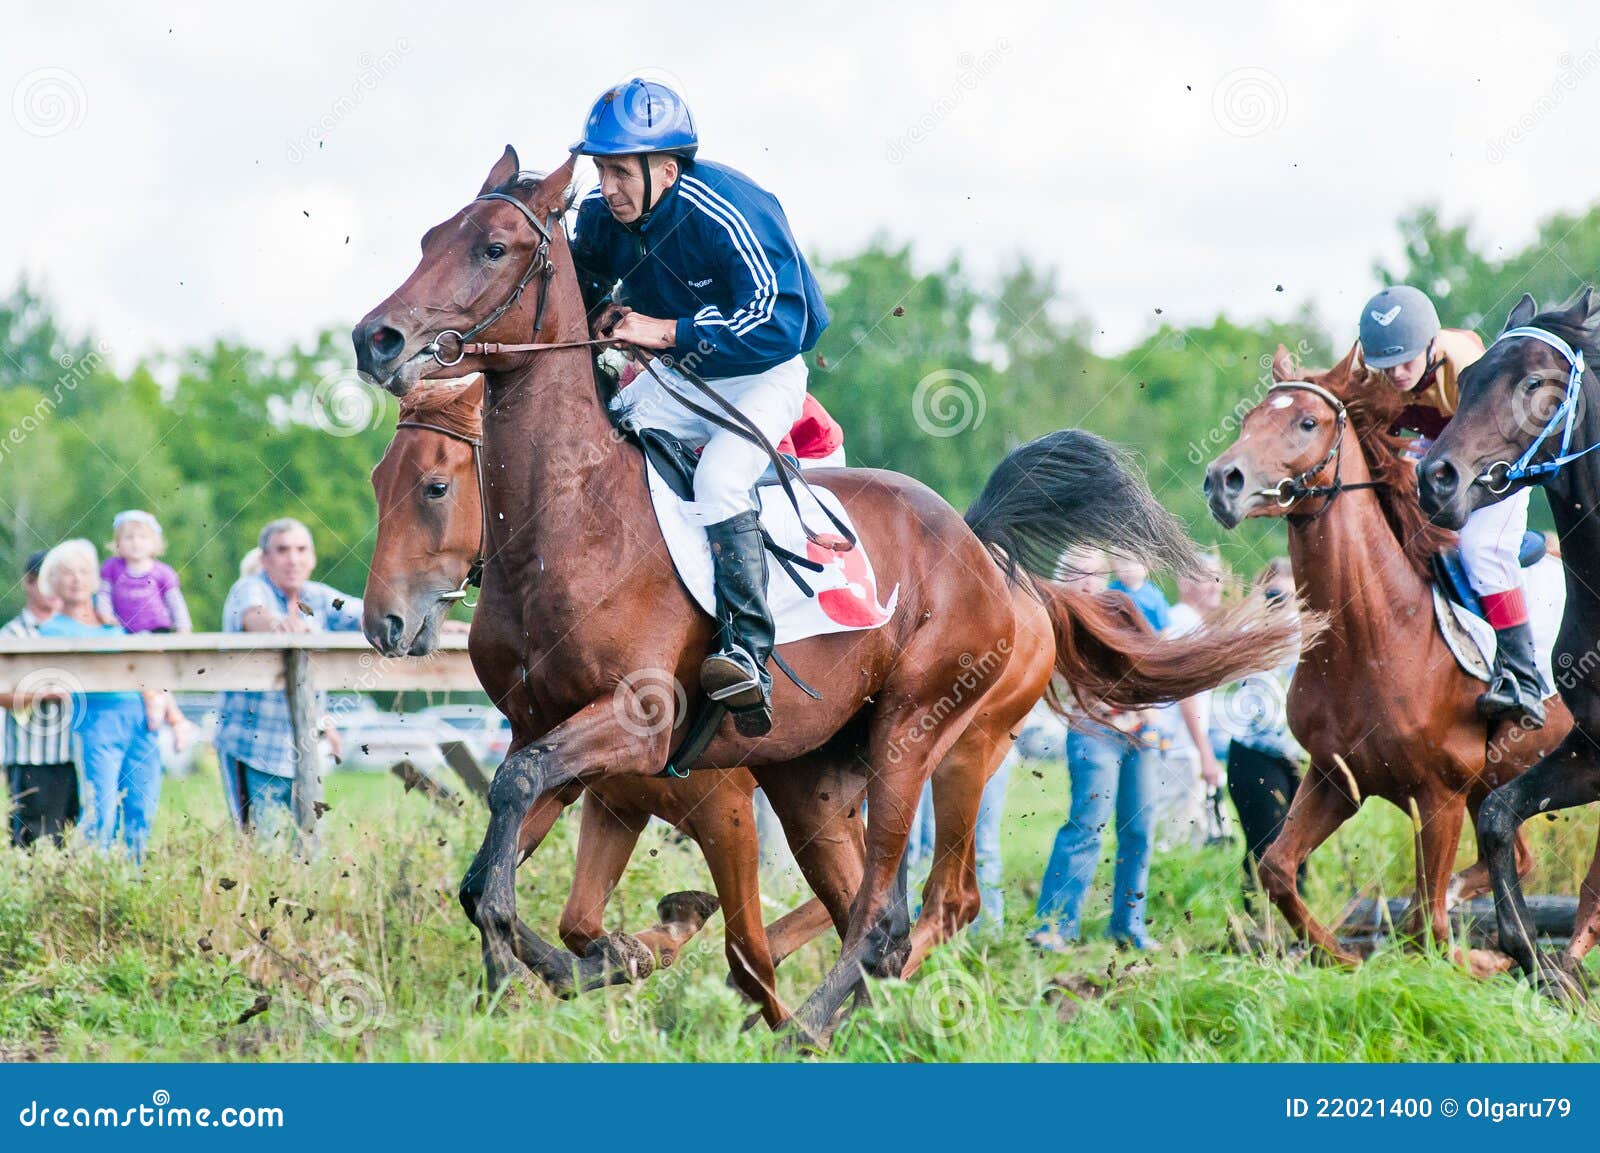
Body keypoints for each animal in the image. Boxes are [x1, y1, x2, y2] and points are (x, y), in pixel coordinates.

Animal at [352, 146, 1301, 1042]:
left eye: (493, 246)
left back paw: (807, 1029)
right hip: (810, 776)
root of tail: (977, 542)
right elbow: (496, 863)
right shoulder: (558, 736)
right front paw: (569, 960)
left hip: (925, 733)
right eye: (429, 238)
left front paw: (554, 961)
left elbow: (534, 820)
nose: (377, 338)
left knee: (897, 911)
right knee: (866, 909)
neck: (572, 515)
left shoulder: (645, 728)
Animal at [1203, 344, 1566, 966]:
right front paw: (1341, 957)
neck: (1373, 633)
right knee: (1518, 858)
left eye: (1307, 422)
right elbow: (1277, 869)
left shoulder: (1440, 795)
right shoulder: (1335, 778)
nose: (1221, 481)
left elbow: (1431, 926)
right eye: (1248, 420)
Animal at [1418, 287, 1600, 993]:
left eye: (1534, 384)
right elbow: (1497, 815)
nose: (1435, 477)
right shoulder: (1592, 747)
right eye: (1466, 379)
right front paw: (1536, 960)